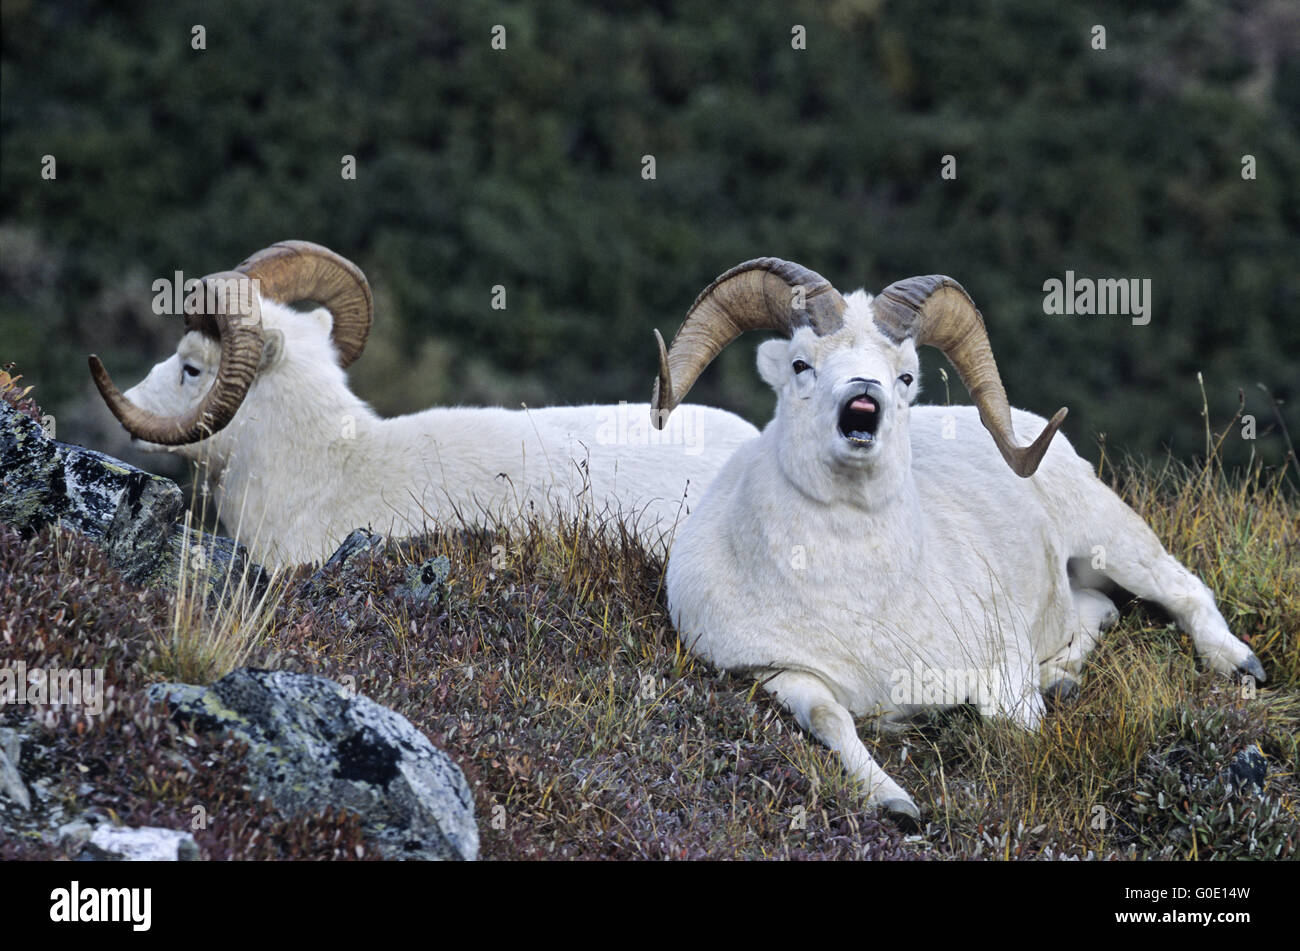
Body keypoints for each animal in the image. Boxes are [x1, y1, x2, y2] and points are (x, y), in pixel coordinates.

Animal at [650, 258, 1267, 822]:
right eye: (802, 364)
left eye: (904, 375)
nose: (864, 397)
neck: (857, 600)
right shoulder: (778, 674)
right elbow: (833, 721)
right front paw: (895, 804)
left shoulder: (1003, 657)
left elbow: (1009, 724)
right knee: (1099, 611)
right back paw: (1062, 682)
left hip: (1112, 542)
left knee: (1184, 590)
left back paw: (1241, 667)